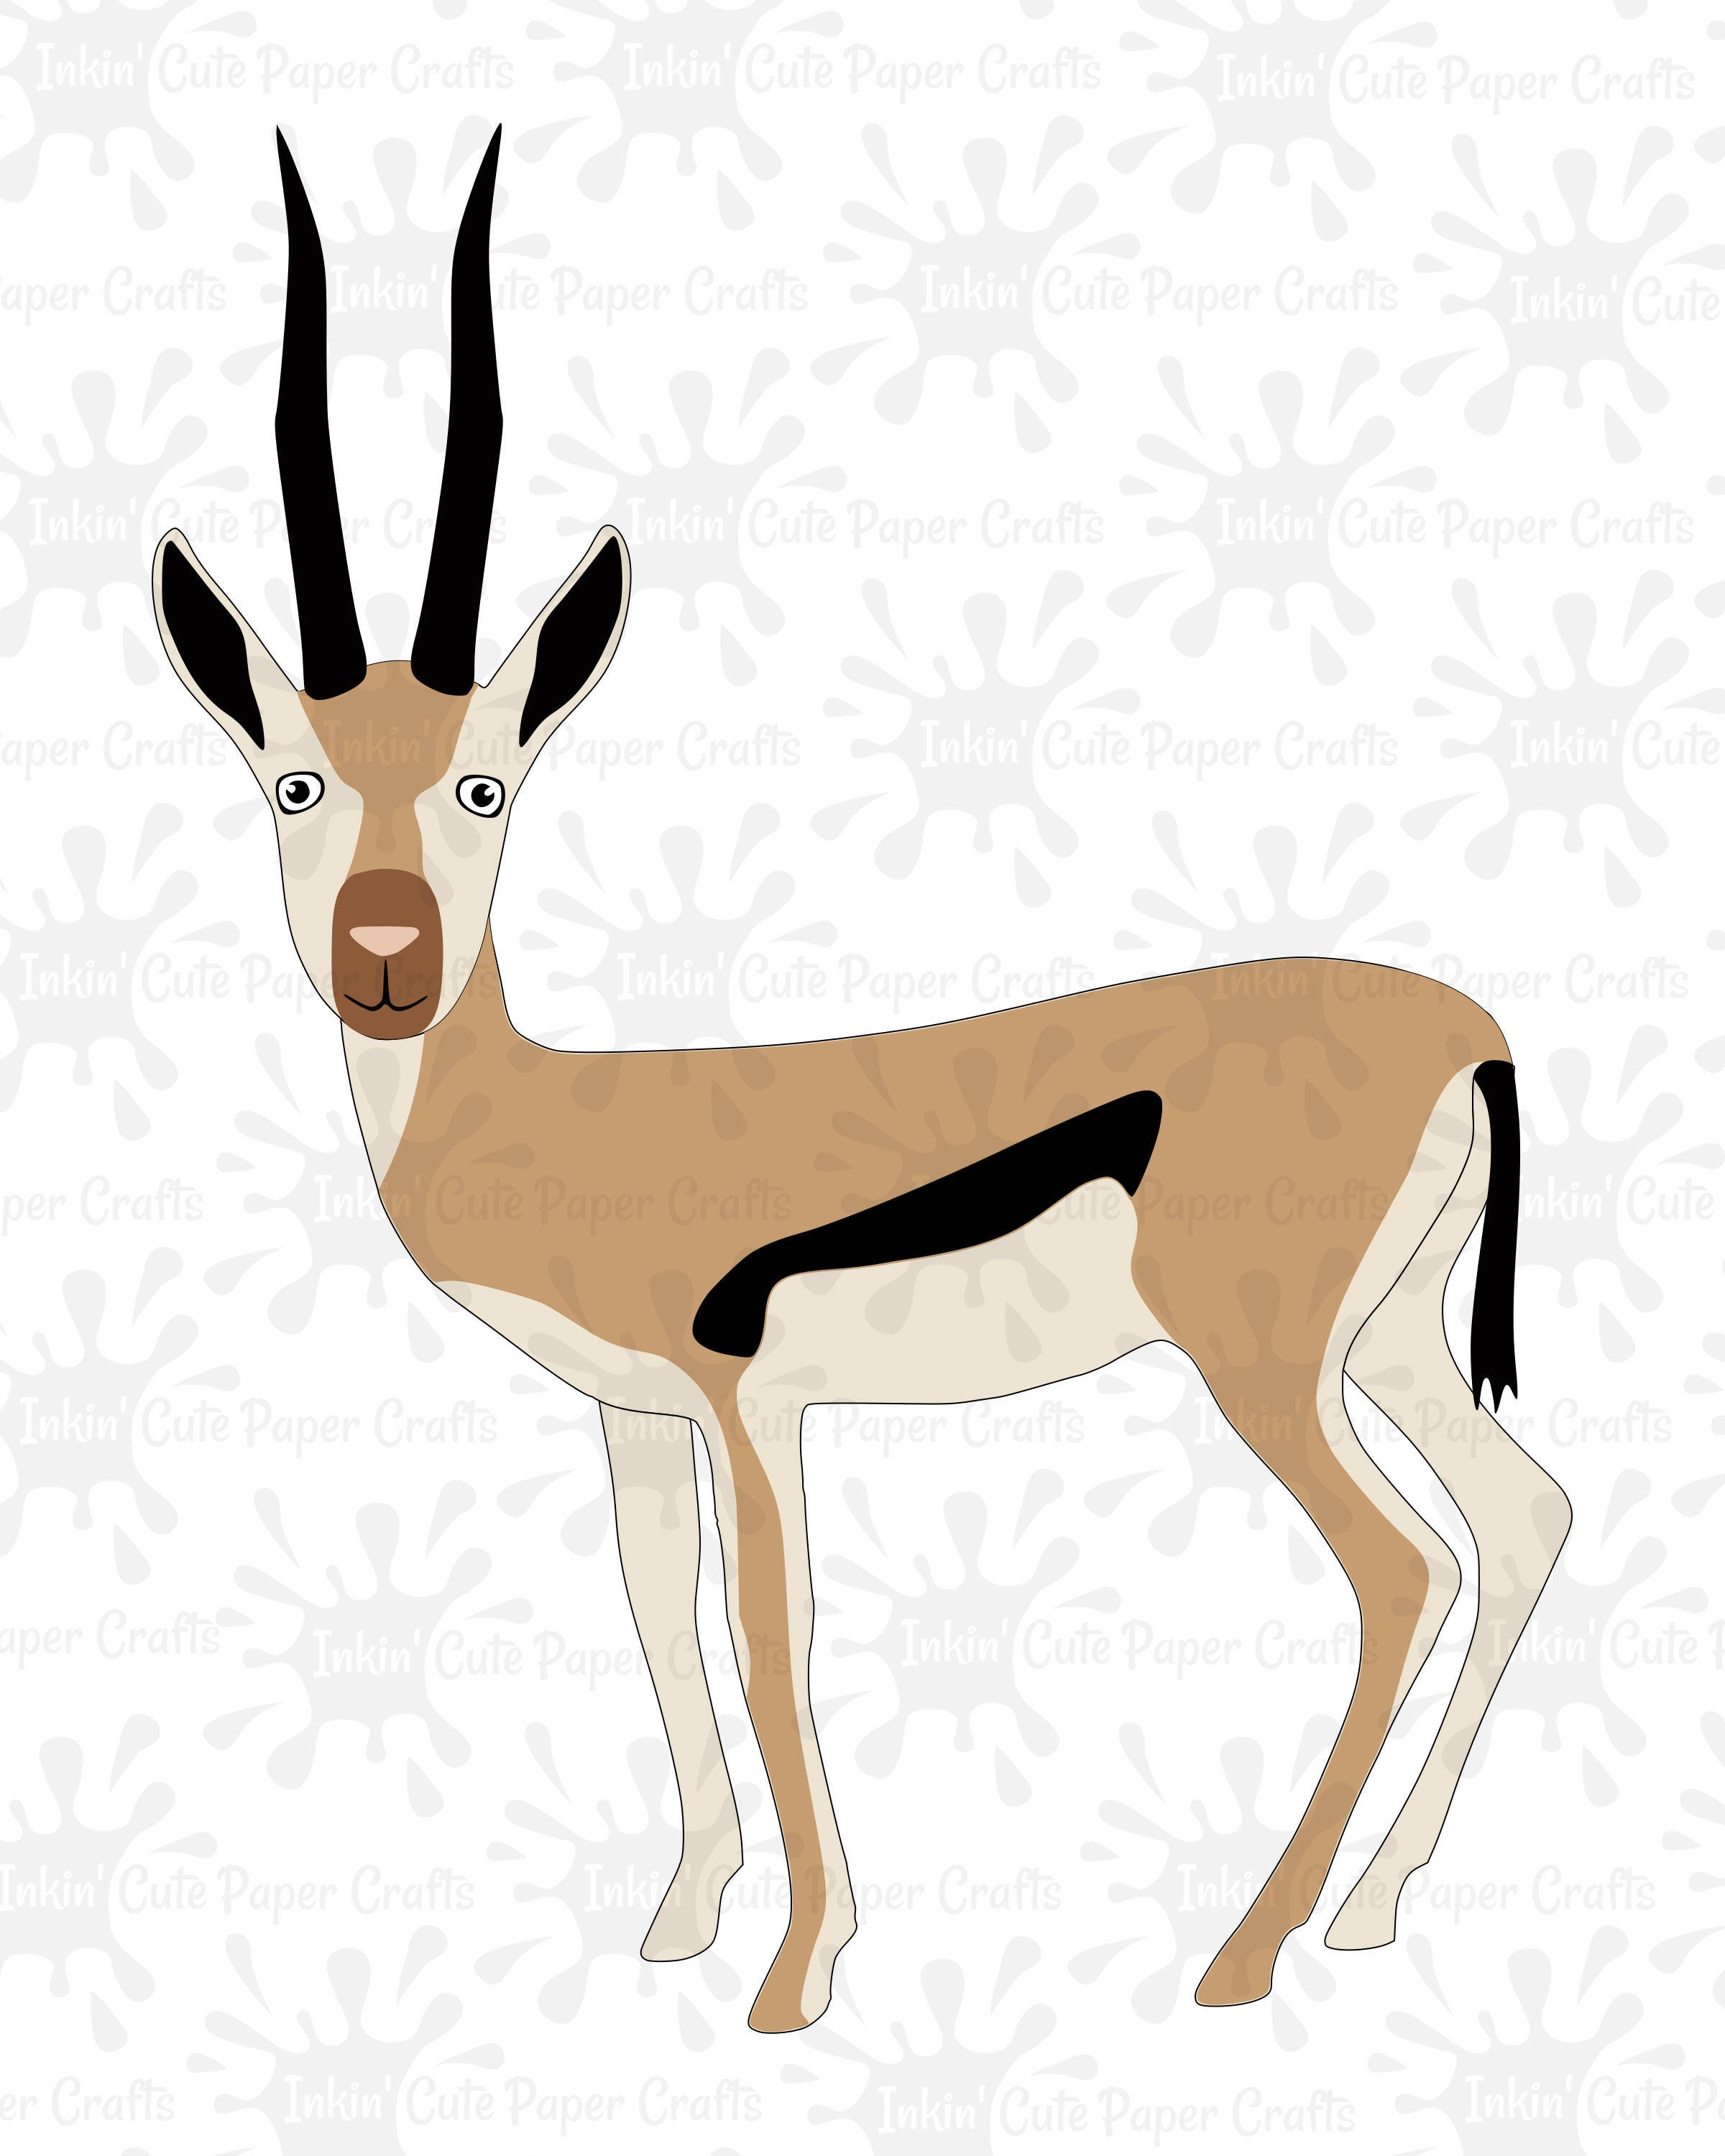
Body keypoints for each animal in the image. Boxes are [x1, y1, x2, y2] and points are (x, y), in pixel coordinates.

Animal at [150, 130, 1572, 2032]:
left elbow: (774, 1643)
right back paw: (1366, 1914)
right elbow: (660, 1631)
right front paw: (681, 1918)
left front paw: (794, 1976)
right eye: (294, 780)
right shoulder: (636, 1419)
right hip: (1392, 1334)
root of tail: (1470, 1025)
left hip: (1266, 1362)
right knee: (1523, 1516)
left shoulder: (750, 1400)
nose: (391, 955)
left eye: (482, 782)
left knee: (1401, 1565)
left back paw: (1240, 1953)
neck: (547, 1116)